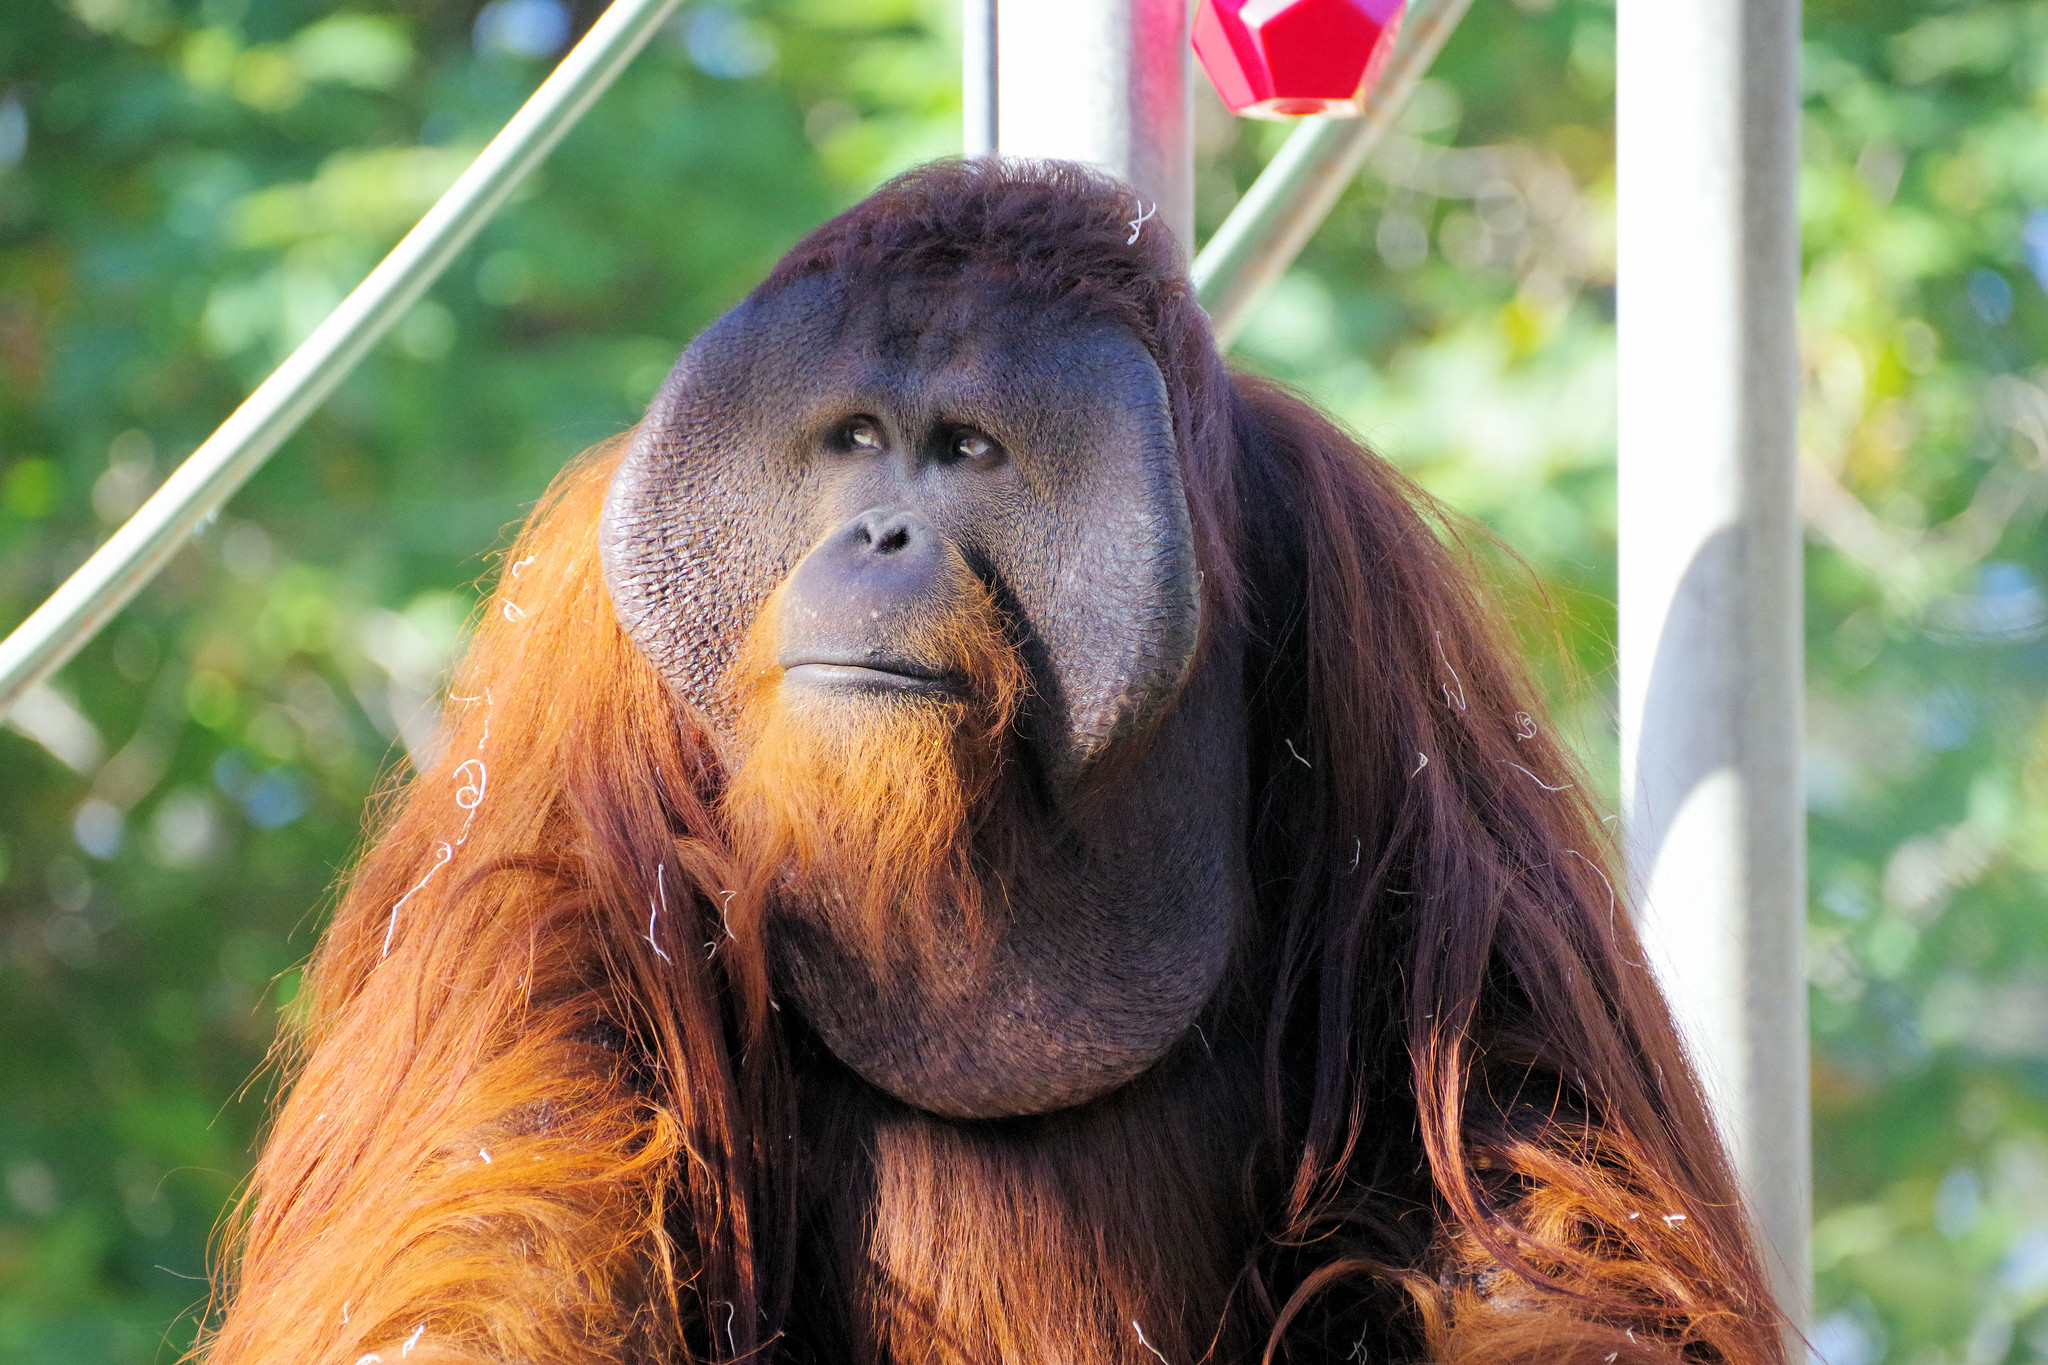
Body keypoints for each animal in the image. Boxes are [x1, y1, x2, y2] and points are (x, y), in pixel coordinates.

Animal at [203, 160, 1786, 1365]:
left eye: (966, 452)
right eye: (853, 440)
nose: (877, 534)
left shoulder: (1377, 611)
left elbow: (1506, 1119)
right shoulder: (579, 648)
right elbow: (516, 1112)